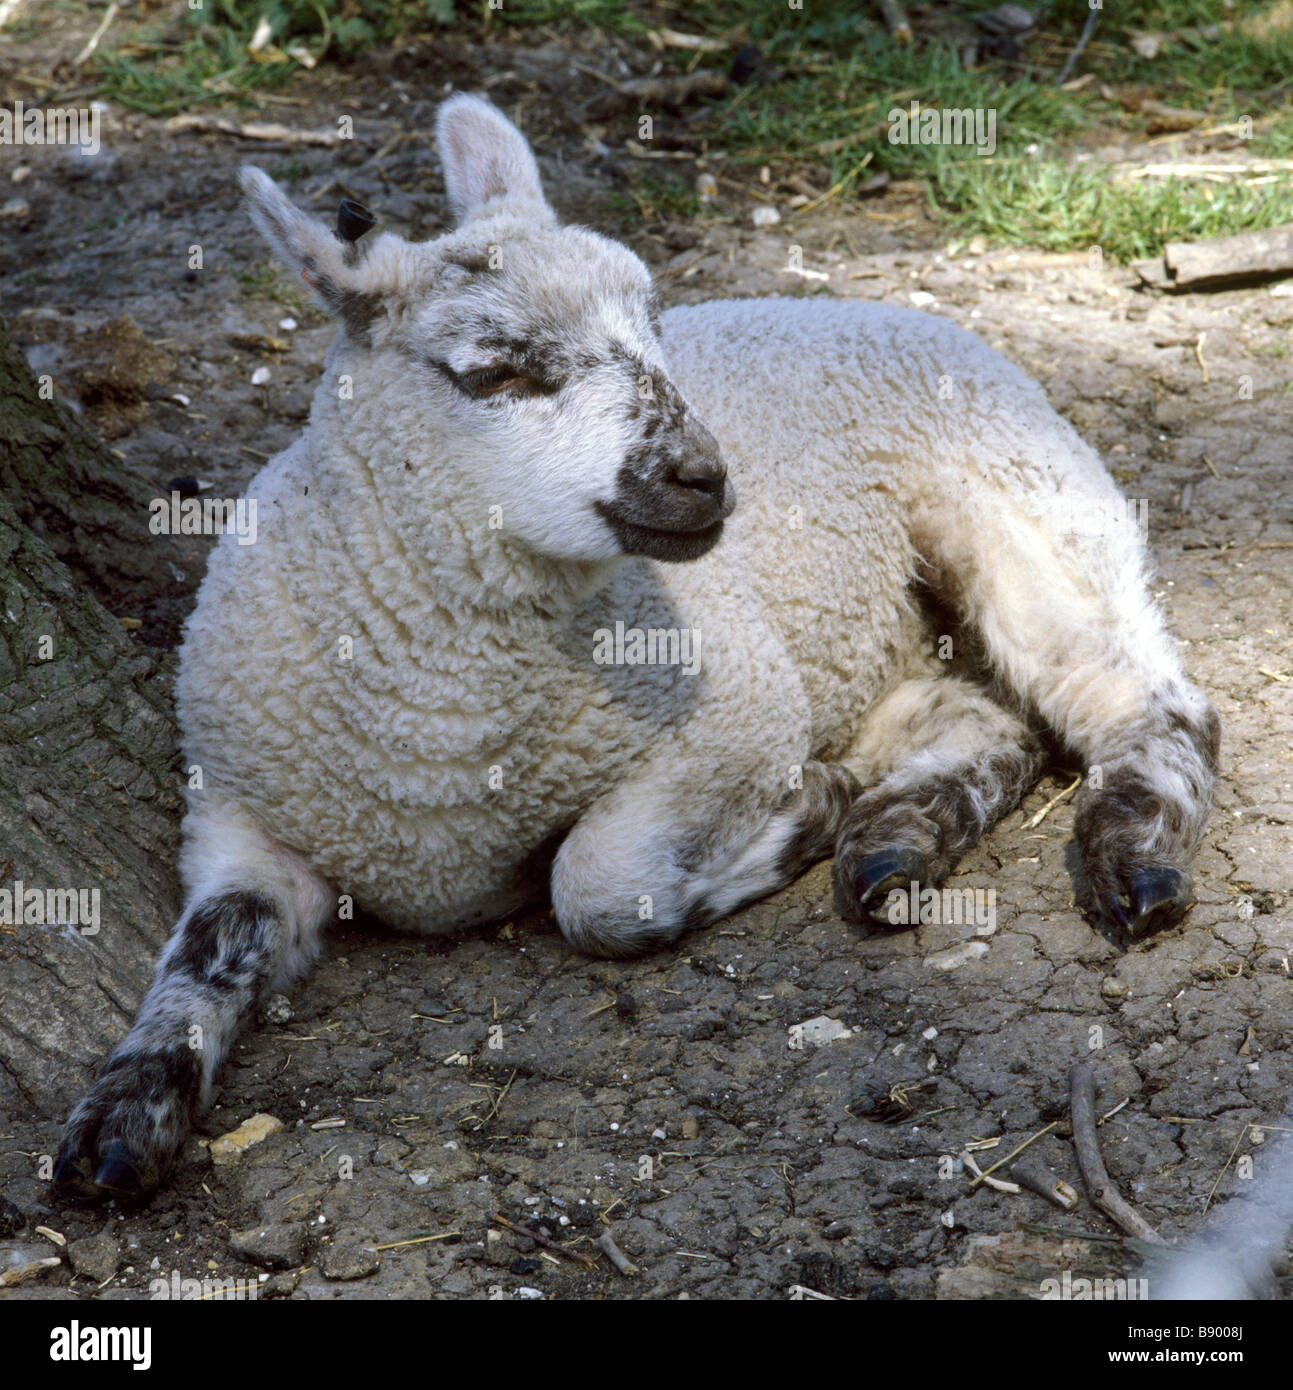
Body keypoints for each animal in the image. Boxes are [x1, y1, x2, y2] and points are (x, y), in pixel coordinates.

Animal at [52, 94, 1220, 1201]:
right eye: (494, 372)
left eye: (653, 318)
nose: (703, 475)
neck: (440, 724)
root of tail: (858, 303)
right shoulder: (237, 811)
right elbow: (214, 943)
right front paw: (123, 1116)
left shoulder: (737, 710)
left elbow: (602, 889)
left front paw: (806, 811)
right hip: (873, 639)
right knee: (987, 715)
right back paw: (900, 840)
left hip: (1016, 492)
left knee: (1145, 697)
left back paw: (1125, 855)